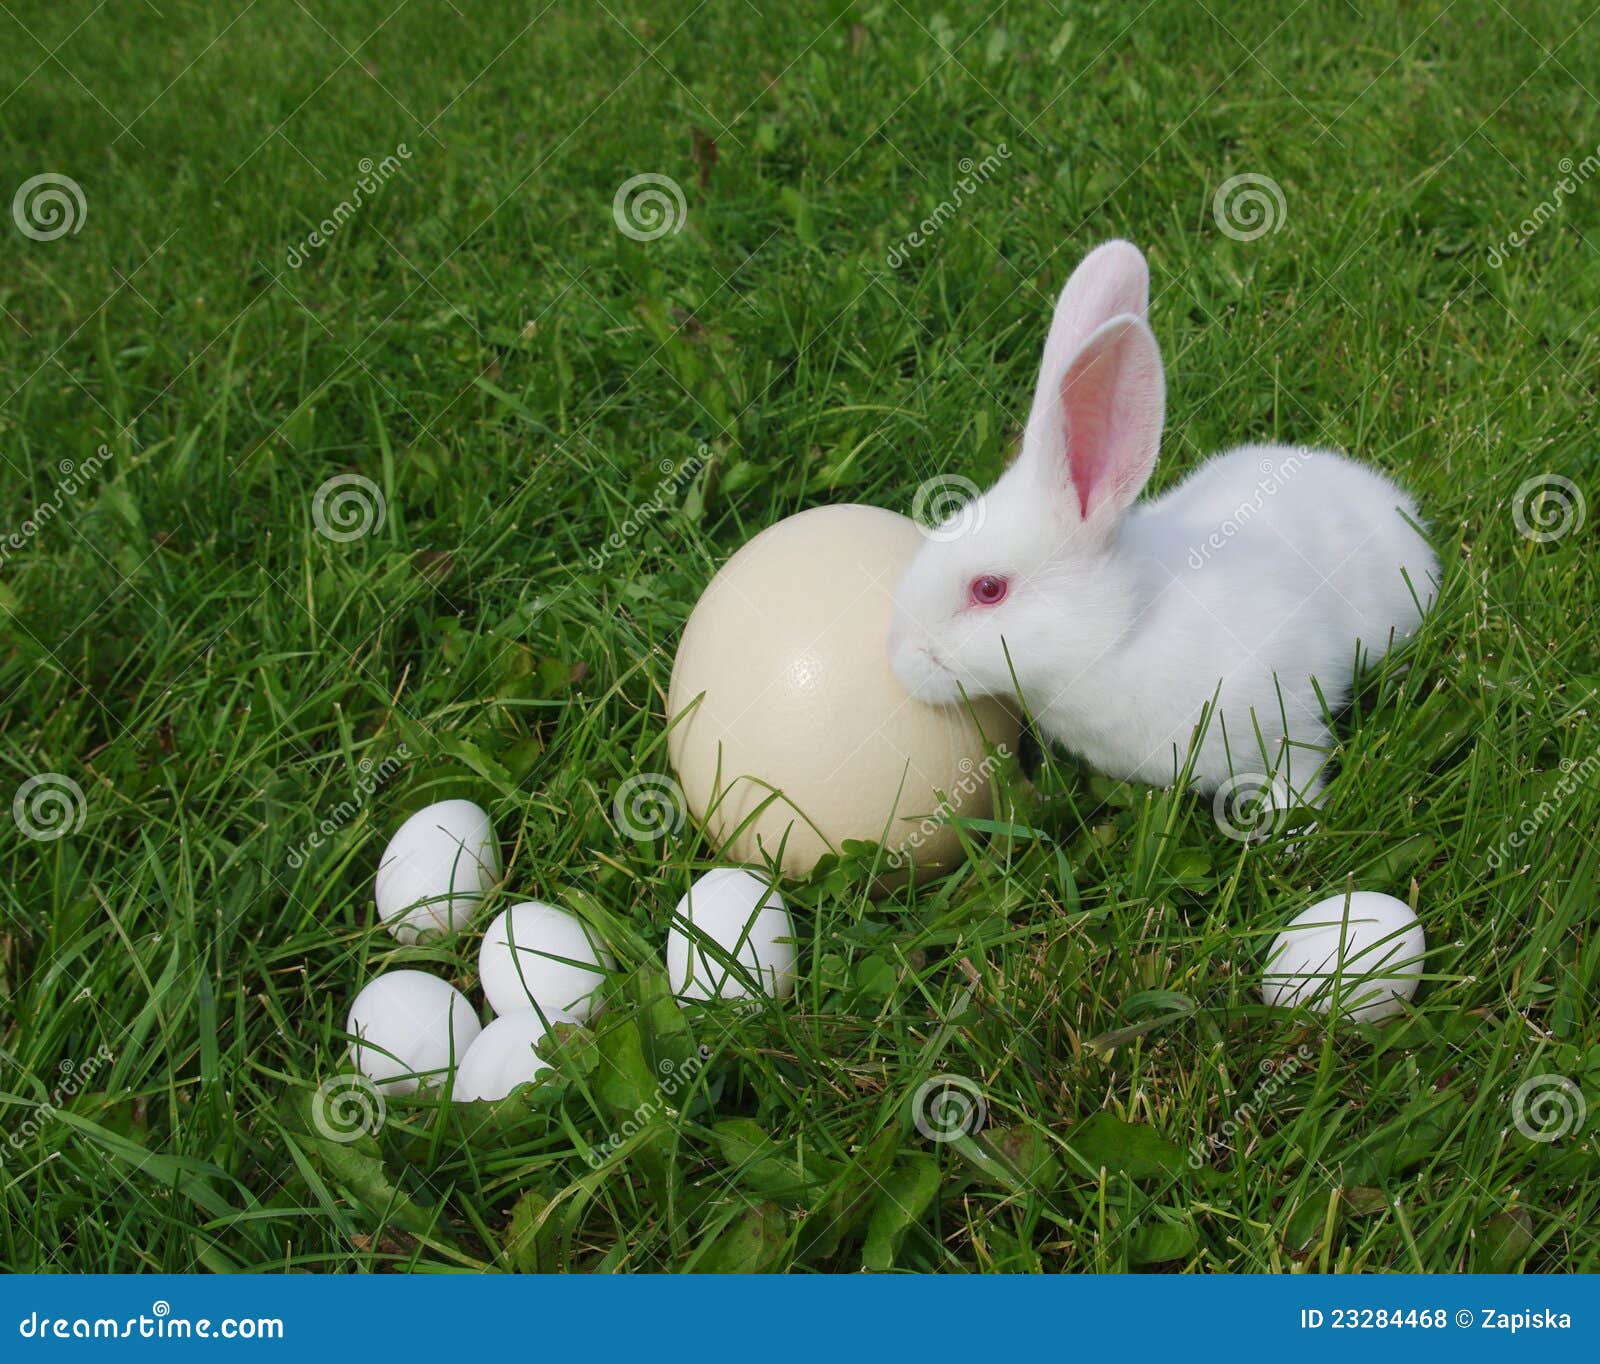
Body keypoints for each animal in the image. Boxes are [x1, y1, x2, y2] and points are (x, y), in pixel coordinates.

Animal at [887, 239, 1438, 808]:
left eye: (989, 589)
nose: (901, 666)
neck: (1122, 632)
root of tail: (1384, 494)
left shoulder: (1288, 718)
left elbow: (1298, 773)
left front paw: (1288, 821)